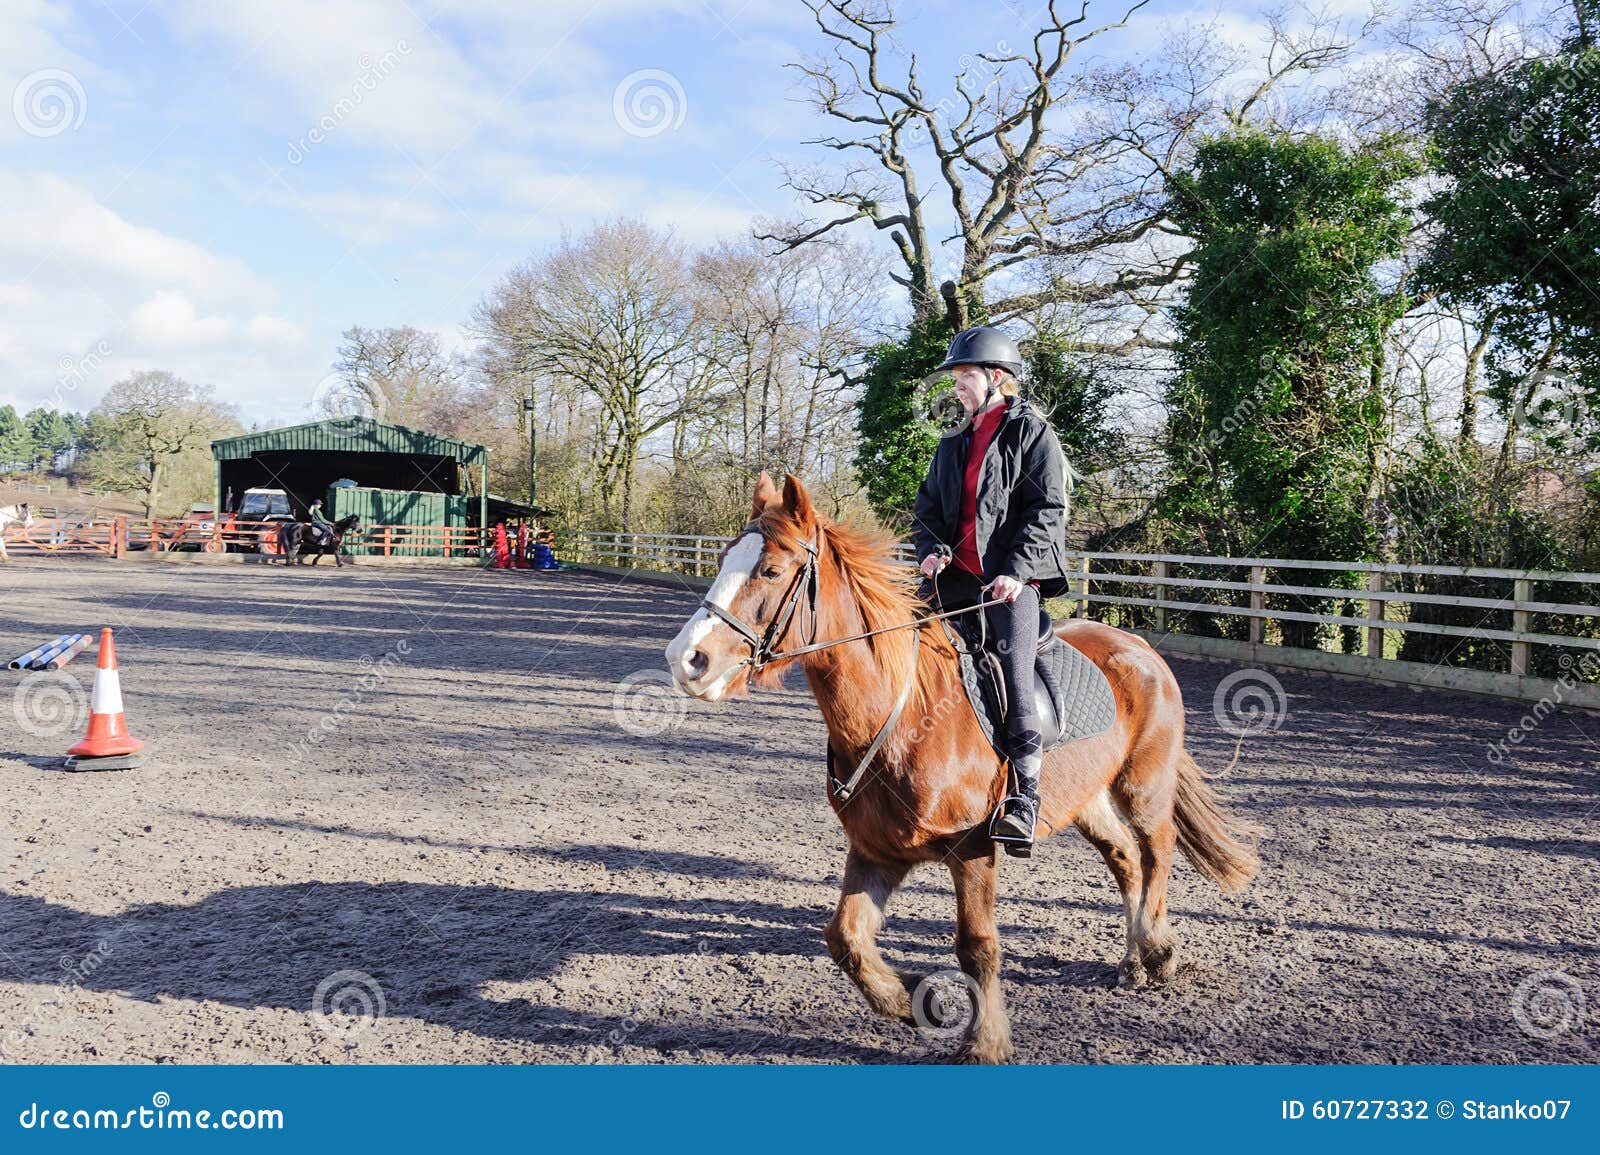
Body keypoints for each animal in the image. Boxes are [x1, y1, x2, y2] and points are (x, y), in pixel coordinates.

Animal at [664, 474, 1261, 1063]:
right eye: (724, 559)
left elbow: (977, 946)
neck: (902, 713)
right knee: (1125, 861)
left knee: (1157, 852)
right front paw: (912, 1000)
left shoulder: (972, 849)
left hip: (1142, 785)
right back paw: (1133, 960)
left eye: (770, 570)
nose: (686, 660)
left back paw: (1157, 949)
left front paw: (985, 1042)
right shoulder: (876, 850)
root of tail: (1139, 646)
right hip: (1085, 799)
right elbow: (845, 939)